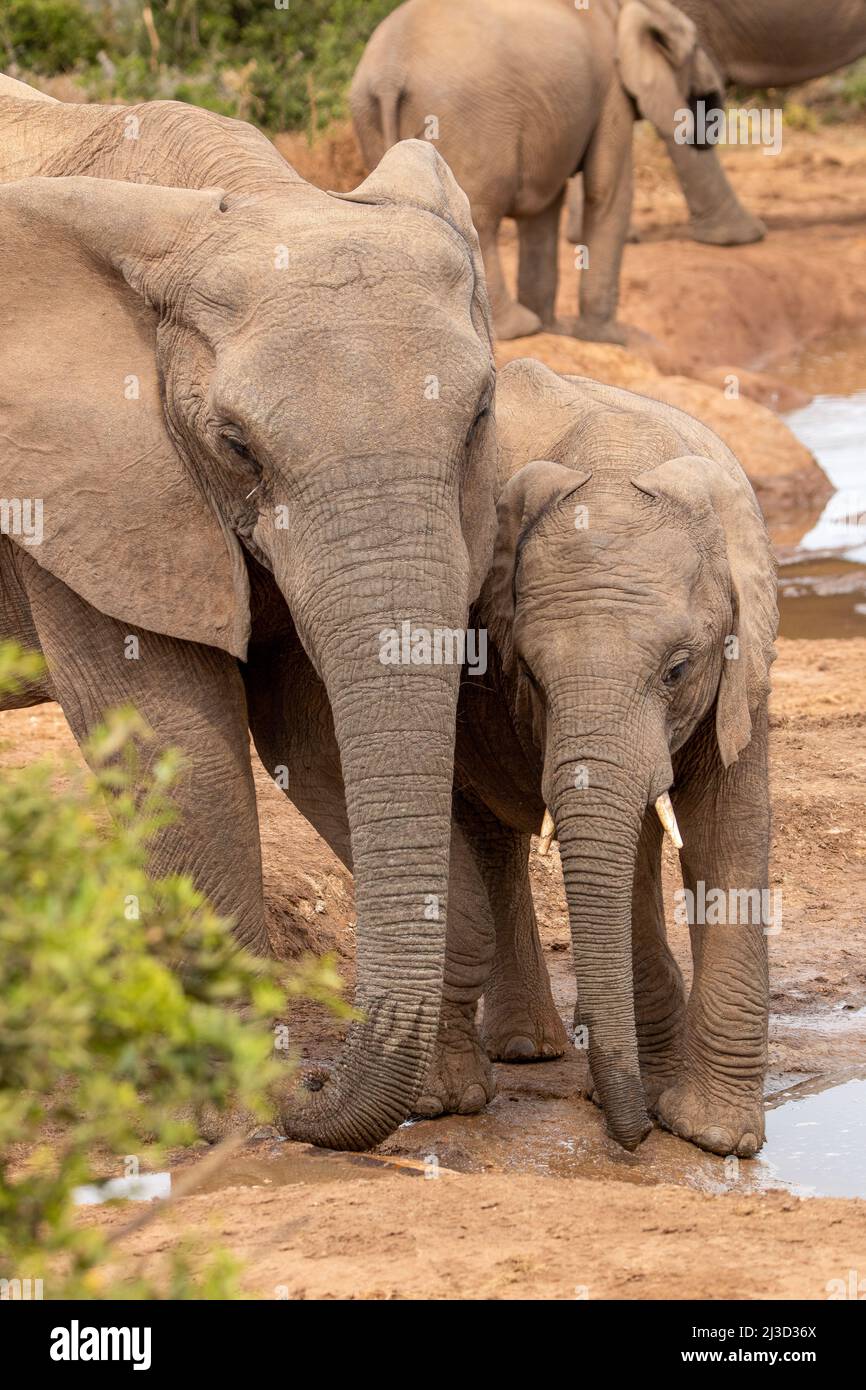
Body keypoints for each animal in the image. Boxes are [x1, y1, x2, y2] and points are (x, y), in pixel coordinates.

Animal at [0, 79, 500, 1152]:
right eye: (236, 443)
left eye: (480, 417)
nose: (310, 1077)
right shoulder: (79, 488)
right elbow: (175, 741)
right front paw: (223, 1113)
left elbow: (311, 732)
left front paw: (440, 1092)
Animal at [350, 0, 739, 343]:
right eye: (696, 45)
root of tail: (388, 72)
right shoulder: (611, 89)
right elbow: (609, 188)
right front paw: (611, 338)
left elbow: (544, 207)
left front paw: (554, 328)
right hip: (461, 117)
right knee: (477, 214)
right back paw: (518, 328)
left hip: (370, 112)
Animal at [437, 358, 778, 1155]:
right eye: (530, 673)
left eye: (679, 670)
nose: (635, 1139)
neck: (620, 458)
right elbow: (628, 859)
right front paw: (657, 1103)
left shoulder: (742, 664)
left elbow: (728, 832)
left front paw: (715, 1136)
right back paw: (507, 1063)